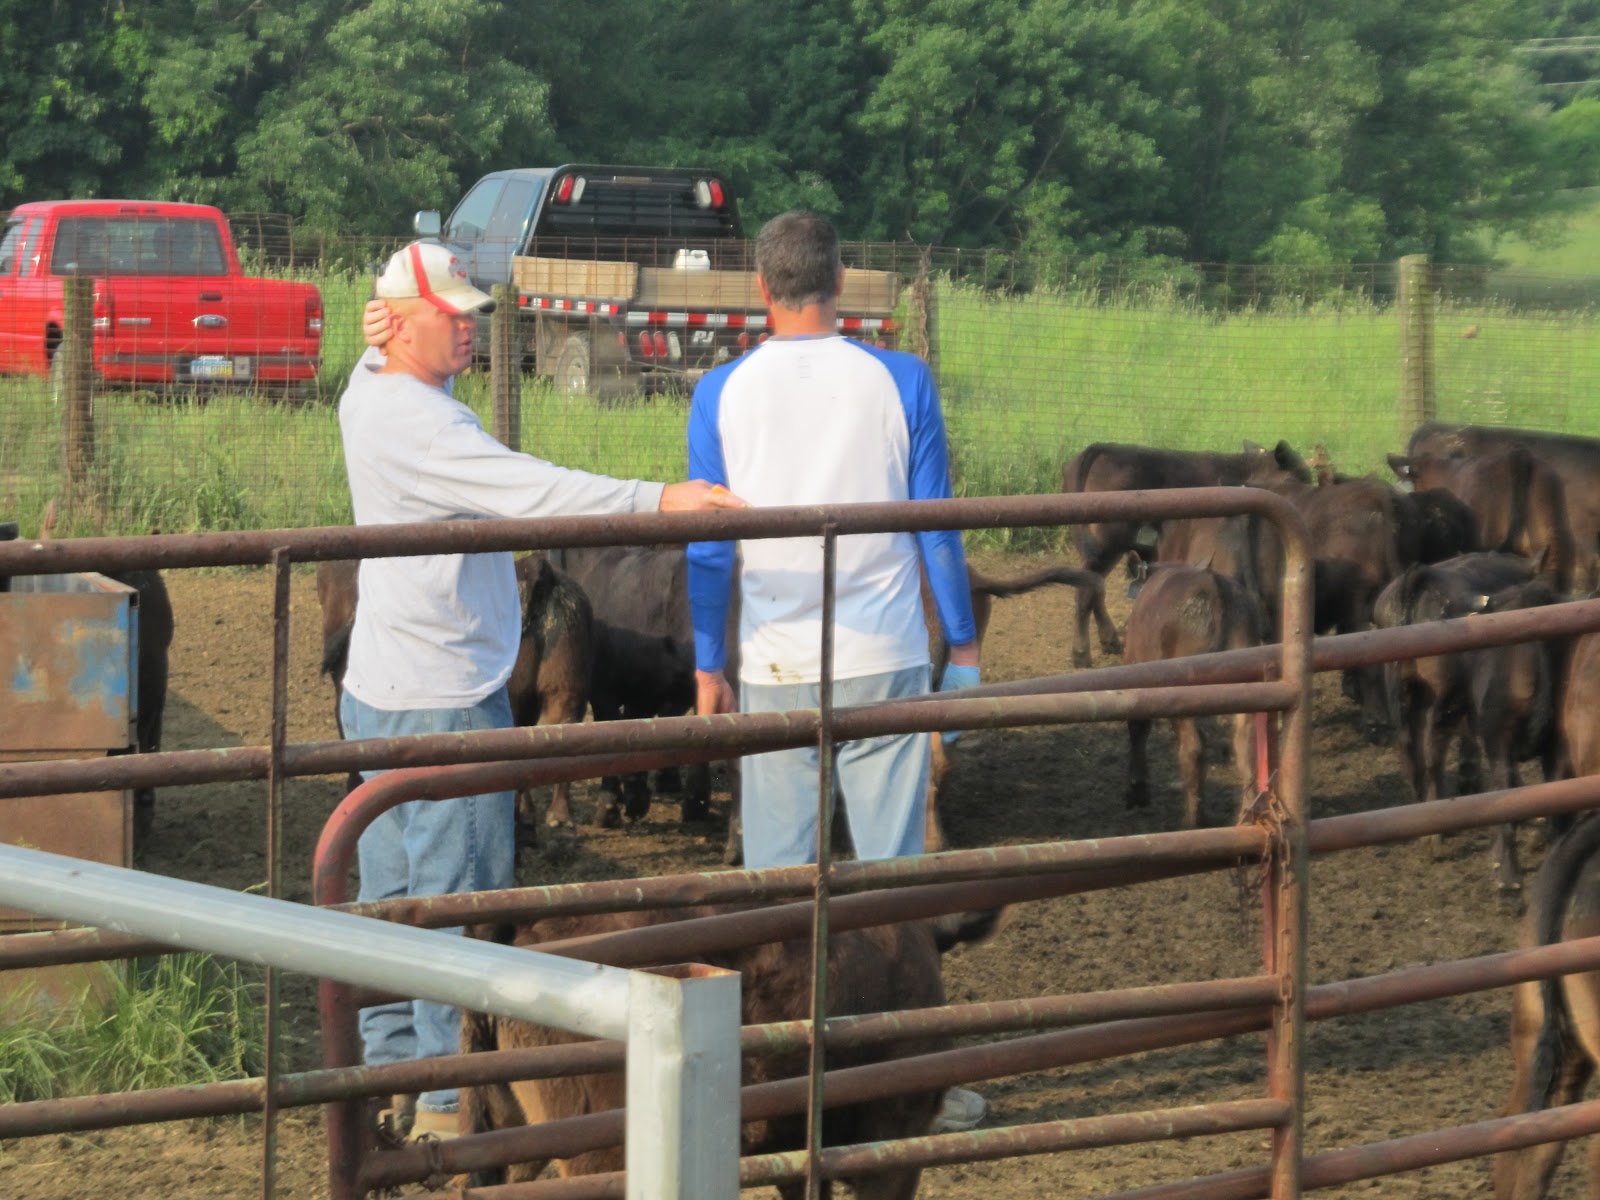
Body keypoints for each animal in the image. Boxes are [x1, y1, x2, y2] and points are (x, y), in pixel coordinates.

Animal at [1059, 439, 1309, 668]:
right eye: (1298, 476)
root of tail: (1102, 447)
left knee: (1094, 585)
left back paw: (1109, 641)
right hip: (1106, 545)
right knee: (1085, 590)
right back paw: (1081, 654)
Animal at [1121, 562, 1264, 829]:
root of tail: (1213, 585)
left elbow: (1137, 727)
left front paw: (1137, 791)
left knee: (1192, 749)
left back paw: (1192, 820)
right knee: (1246, 746)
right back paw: (1245, 817)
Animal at [1373, 553, 1563, 890]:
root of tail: (1419, 580)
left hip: (1406, 701)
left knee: (1410, 753)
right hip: (1436, 703)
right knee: (1432, 755)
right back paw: (1436, 834)